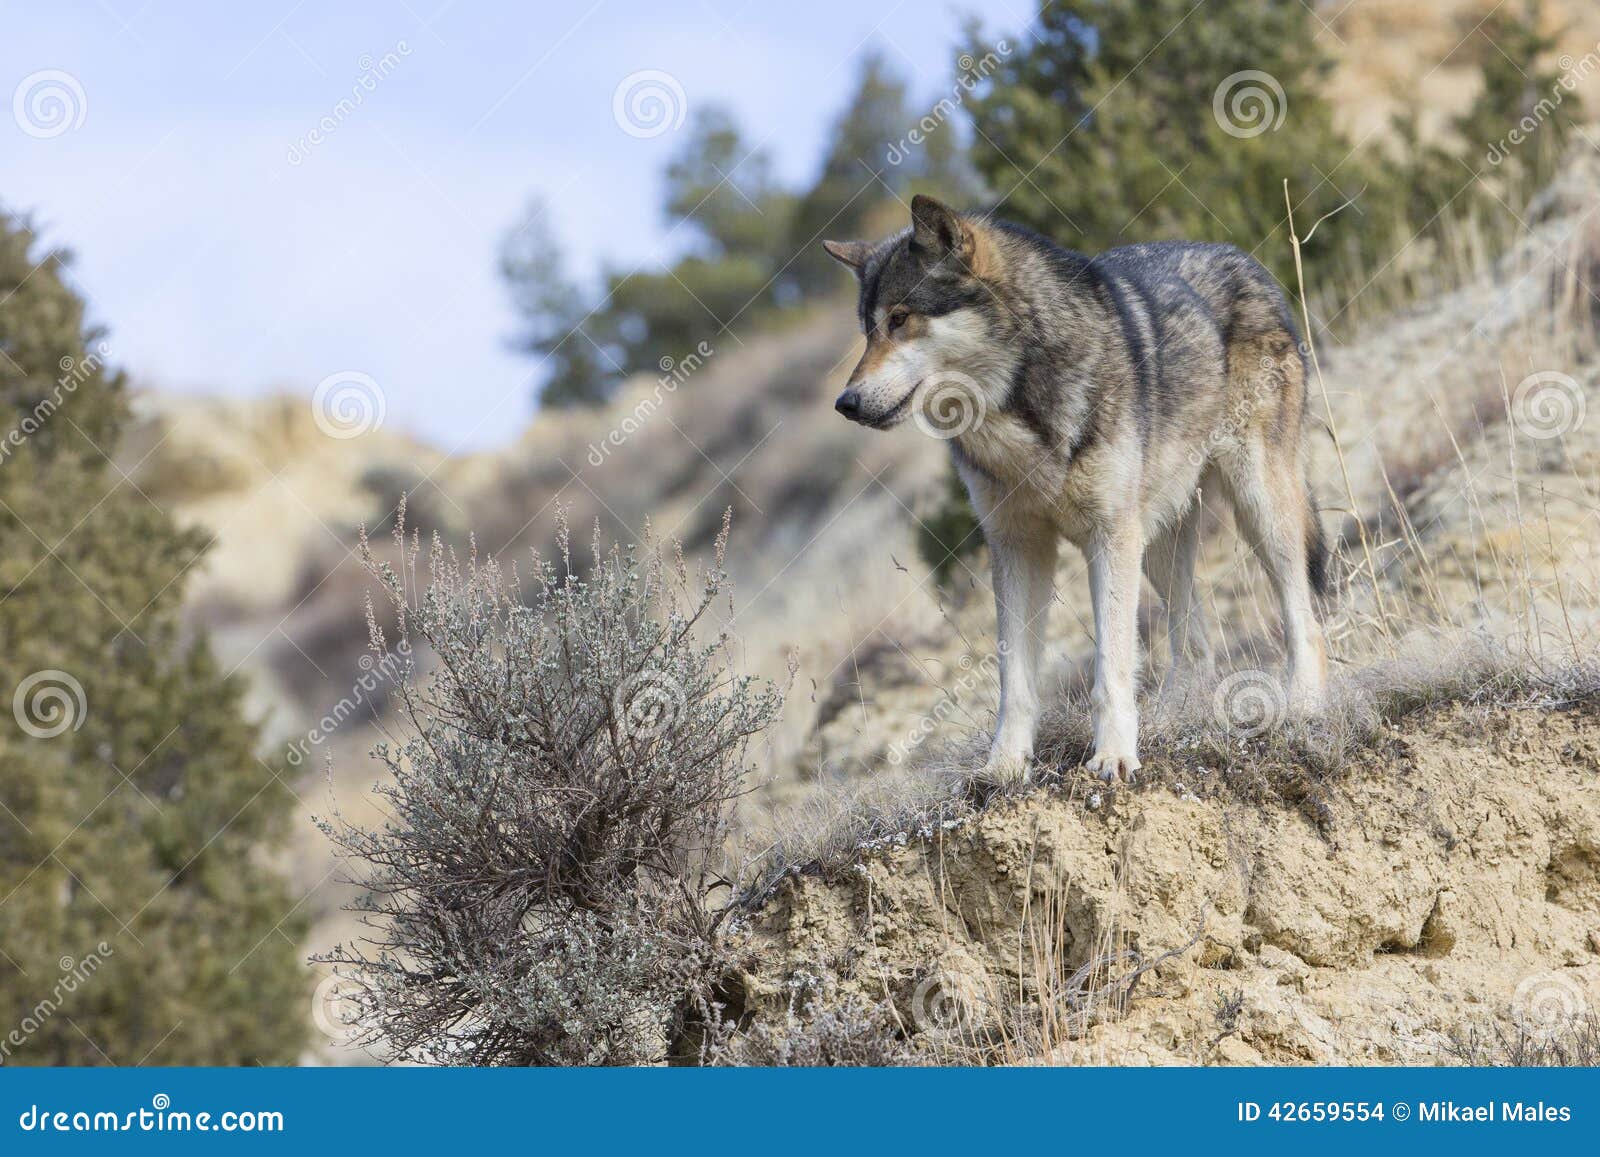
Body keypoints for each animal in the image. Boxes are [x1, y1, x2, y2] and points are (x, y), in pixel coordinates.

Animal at [823, 195, 1327, 782]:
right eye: (867, 330)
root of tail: (1242, 257)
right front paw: (1004, 766)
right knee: (1196, 641)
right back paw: (1176, 715)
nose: (845, 403)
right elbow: (1014, 680)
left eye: (901, 319)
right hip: (1158, 542)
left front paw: (1114, 755)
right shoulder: (1017, 547)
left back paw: (1304, 704)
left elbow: (1111, 666)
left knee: (1302, 614)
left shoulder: (1107, 538)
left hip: (1255, 506)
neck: (1017, 416)